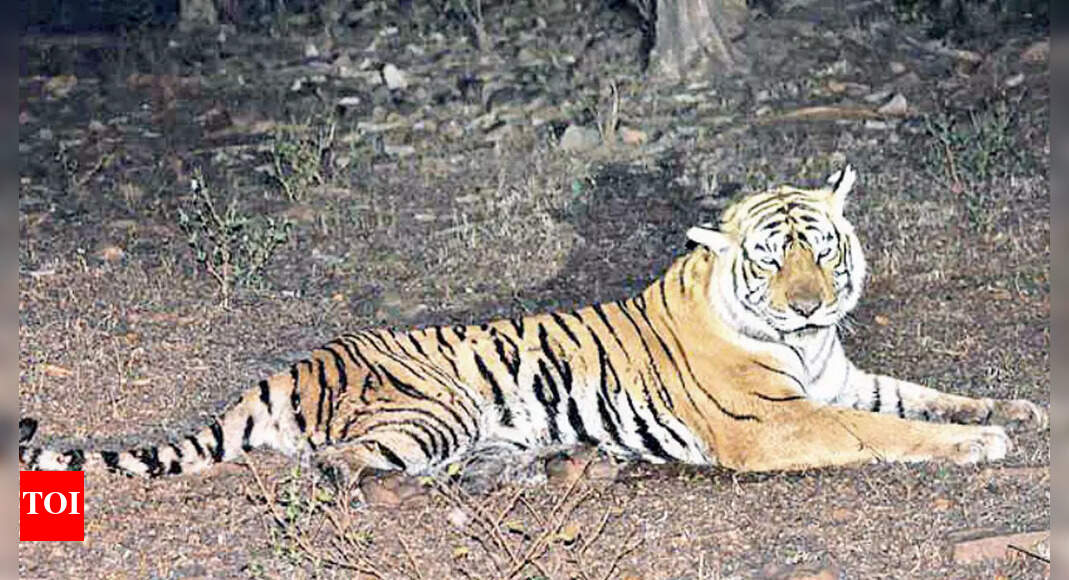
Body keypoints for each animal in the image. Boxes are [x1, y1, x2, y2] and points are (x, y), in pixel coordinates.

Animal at [19, 165, 1048, 491]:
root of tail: (294, 365)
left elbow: (922, 395)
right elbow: (887, 430)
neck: (804, 345)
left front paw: (1015, 411)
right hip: (434, 412)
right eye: (769, 259)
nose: (807, 302)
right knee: (341, 468)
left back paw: (538, 468)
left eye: (822, 249)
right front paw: (980, 445)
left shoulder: (837, 378)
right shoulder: (781, 422)